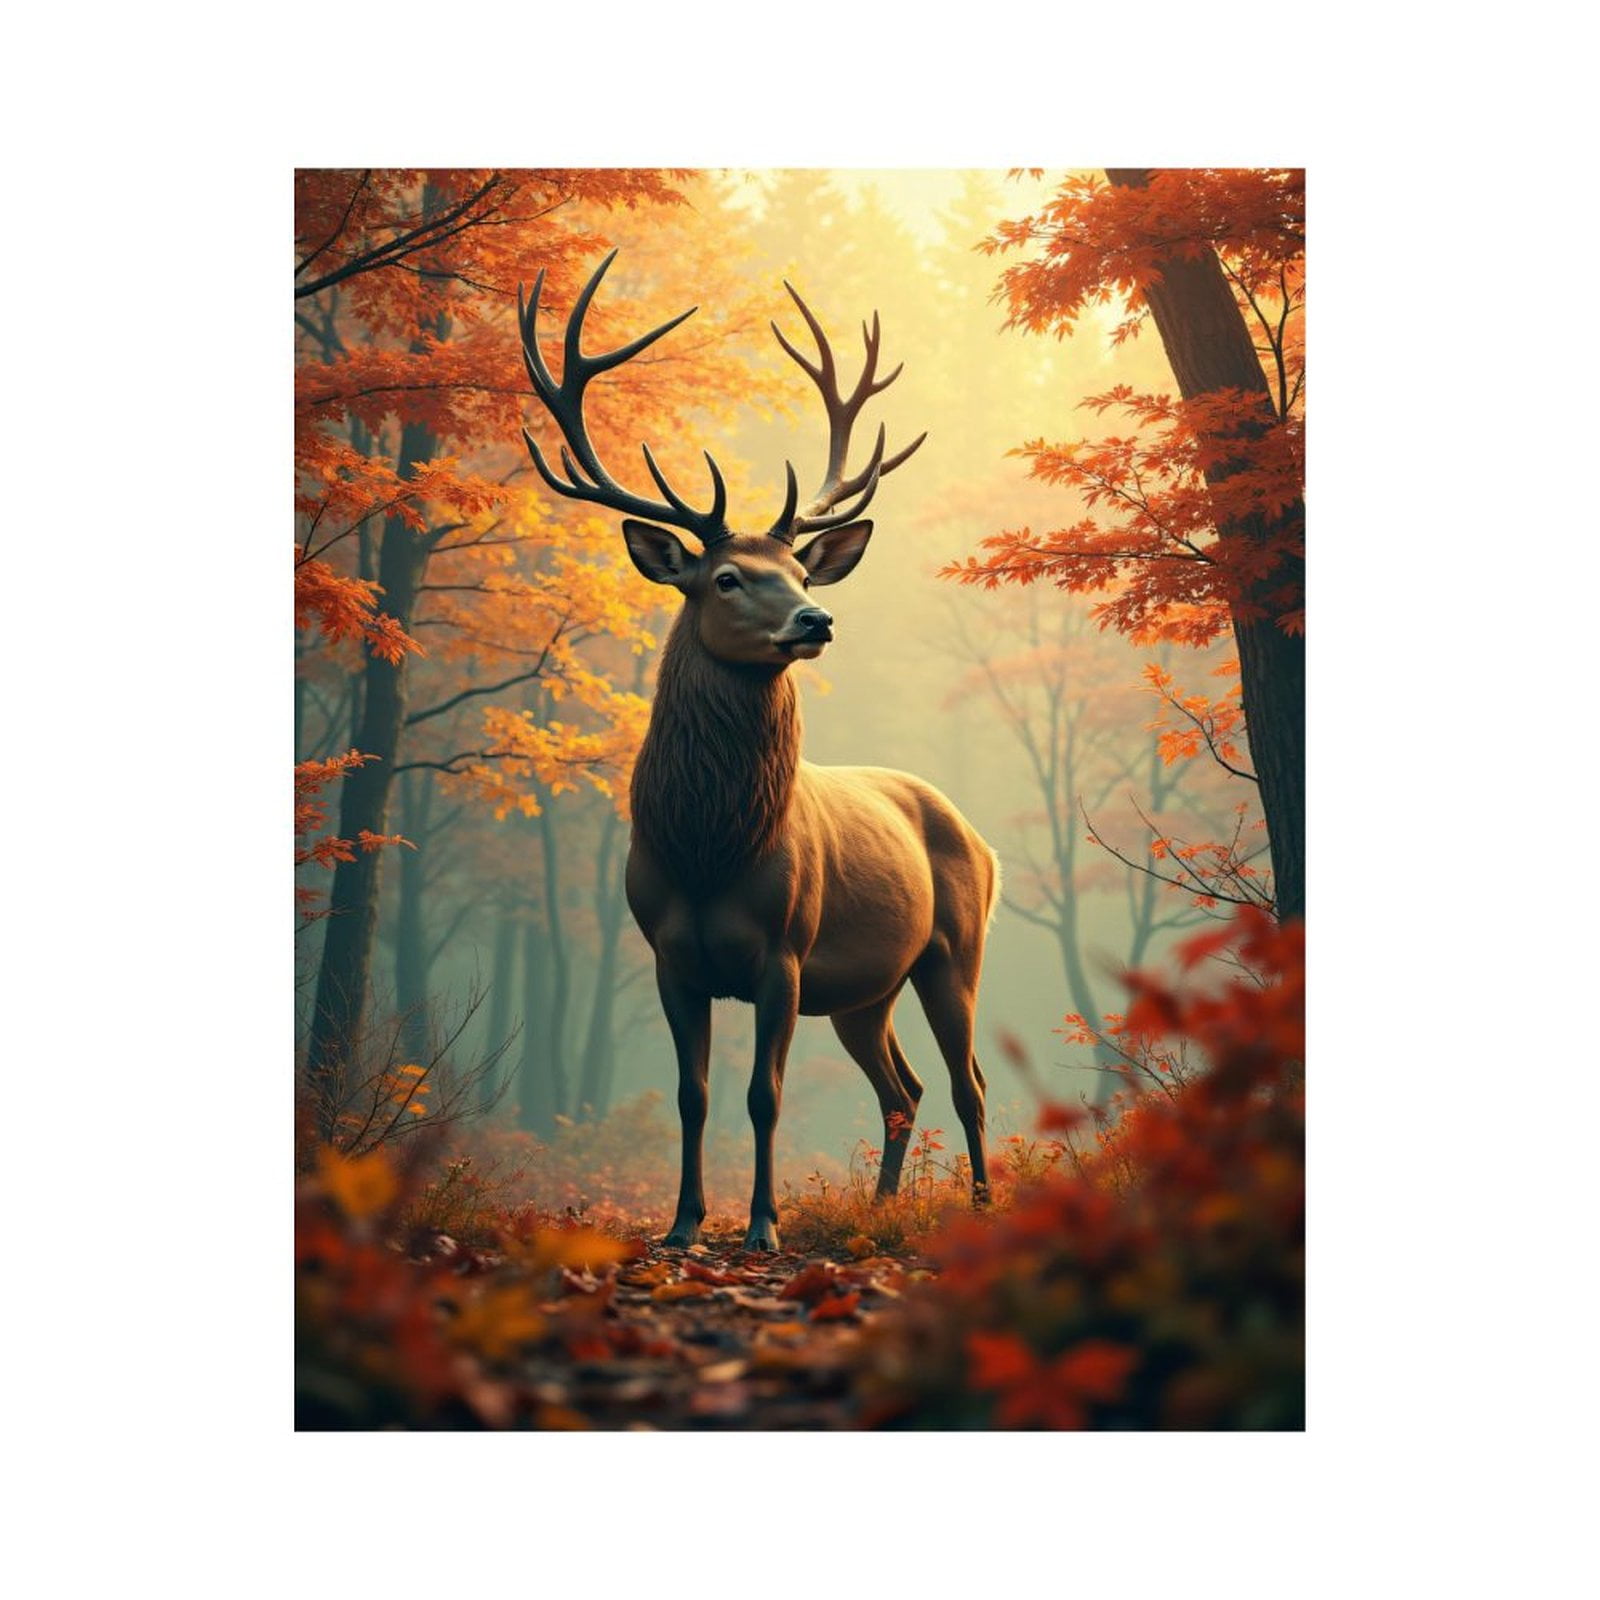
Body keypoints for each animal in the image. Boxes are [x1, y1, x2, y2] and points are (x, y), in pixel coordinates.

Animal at [516, 250, 999, 1251]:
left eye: (805, 569)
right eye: (728, 578)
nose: (816, 618)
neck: (709, 848)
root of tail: (982, 839)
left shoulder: (785, 948)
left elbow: (762, 1096)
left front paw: (763, 1228)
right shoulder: (669, 953)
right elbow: (693, 1096)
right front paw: (683, 1225)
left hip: (954, 946)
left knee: (968, 1082)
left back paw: (981, 1205)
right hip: (864, 990)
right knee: (904, 1087)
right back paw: (880, 1207)